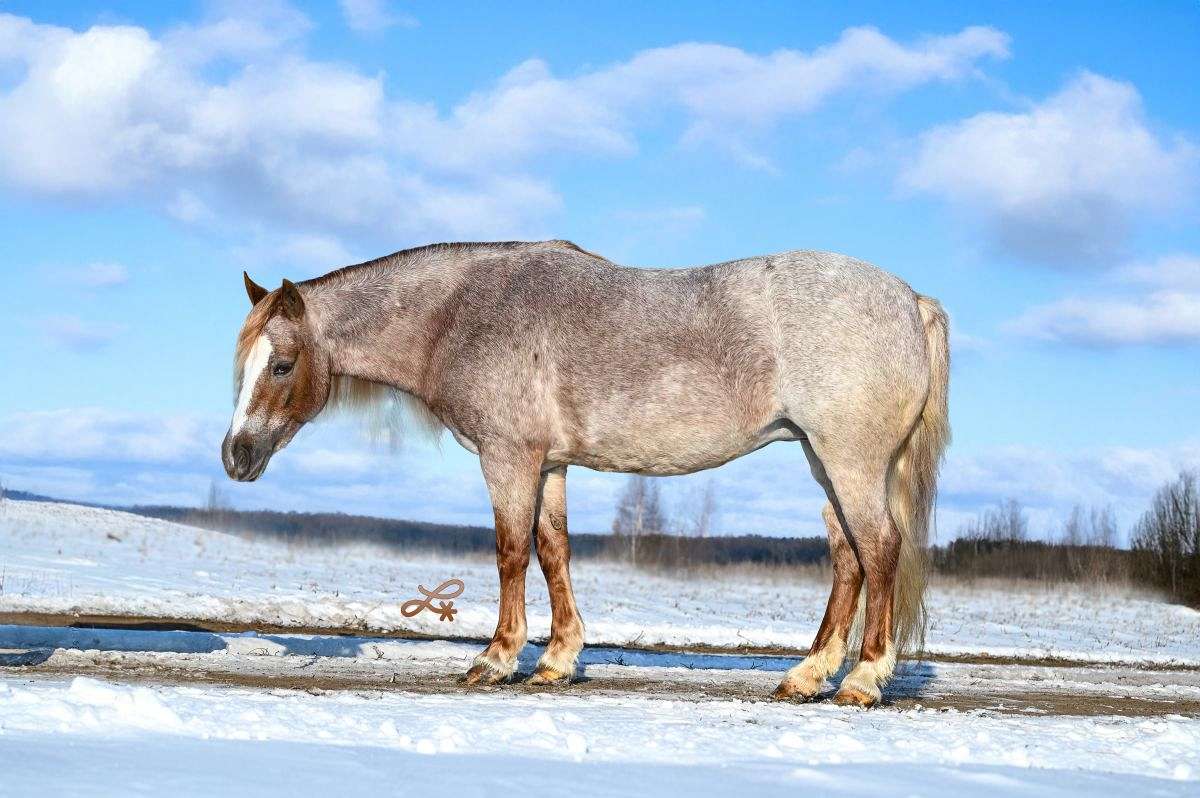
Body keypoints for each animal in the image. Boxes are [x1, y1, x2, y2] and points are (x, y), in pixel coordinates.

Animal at [222, 240, 949, 707]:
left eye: (281, 364)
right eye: (243, 366)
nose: (236, 455)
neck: (461, 313)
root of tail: (910, 300)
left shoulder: (508, 457)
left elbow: (511, 553)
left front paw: (496, 659)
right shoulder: (550, 464)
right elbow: (553, 552)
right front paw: (556, 661)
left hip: (849, 462)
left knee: (879, 549)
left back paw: (861, 681)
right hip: (823, 462)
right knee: (849, 558)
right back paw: (807, 675)